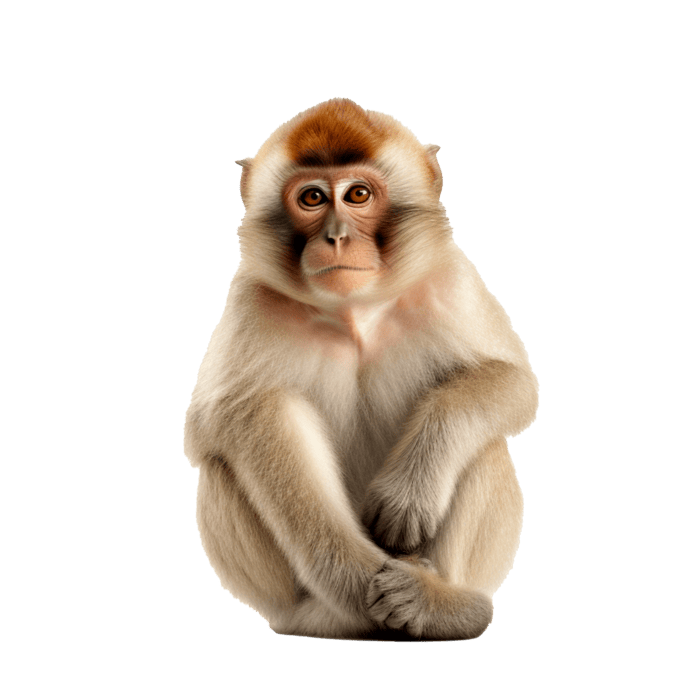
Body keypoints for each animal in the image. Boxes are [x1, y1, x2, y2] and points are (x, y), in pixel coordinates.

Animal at [183, 97, 538, 641]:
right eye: (311, 197)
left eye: (358, 194)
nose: (337, 236)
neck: (354, 313)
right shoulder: (250, 301)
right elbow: (232, 416)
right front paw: (355, 581)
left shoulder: (452, 278)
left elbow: (513, 382)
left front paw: (408, 498)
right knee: (224, 464)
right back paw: (346, 613)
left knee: (486, 445)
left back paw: (439, 601)